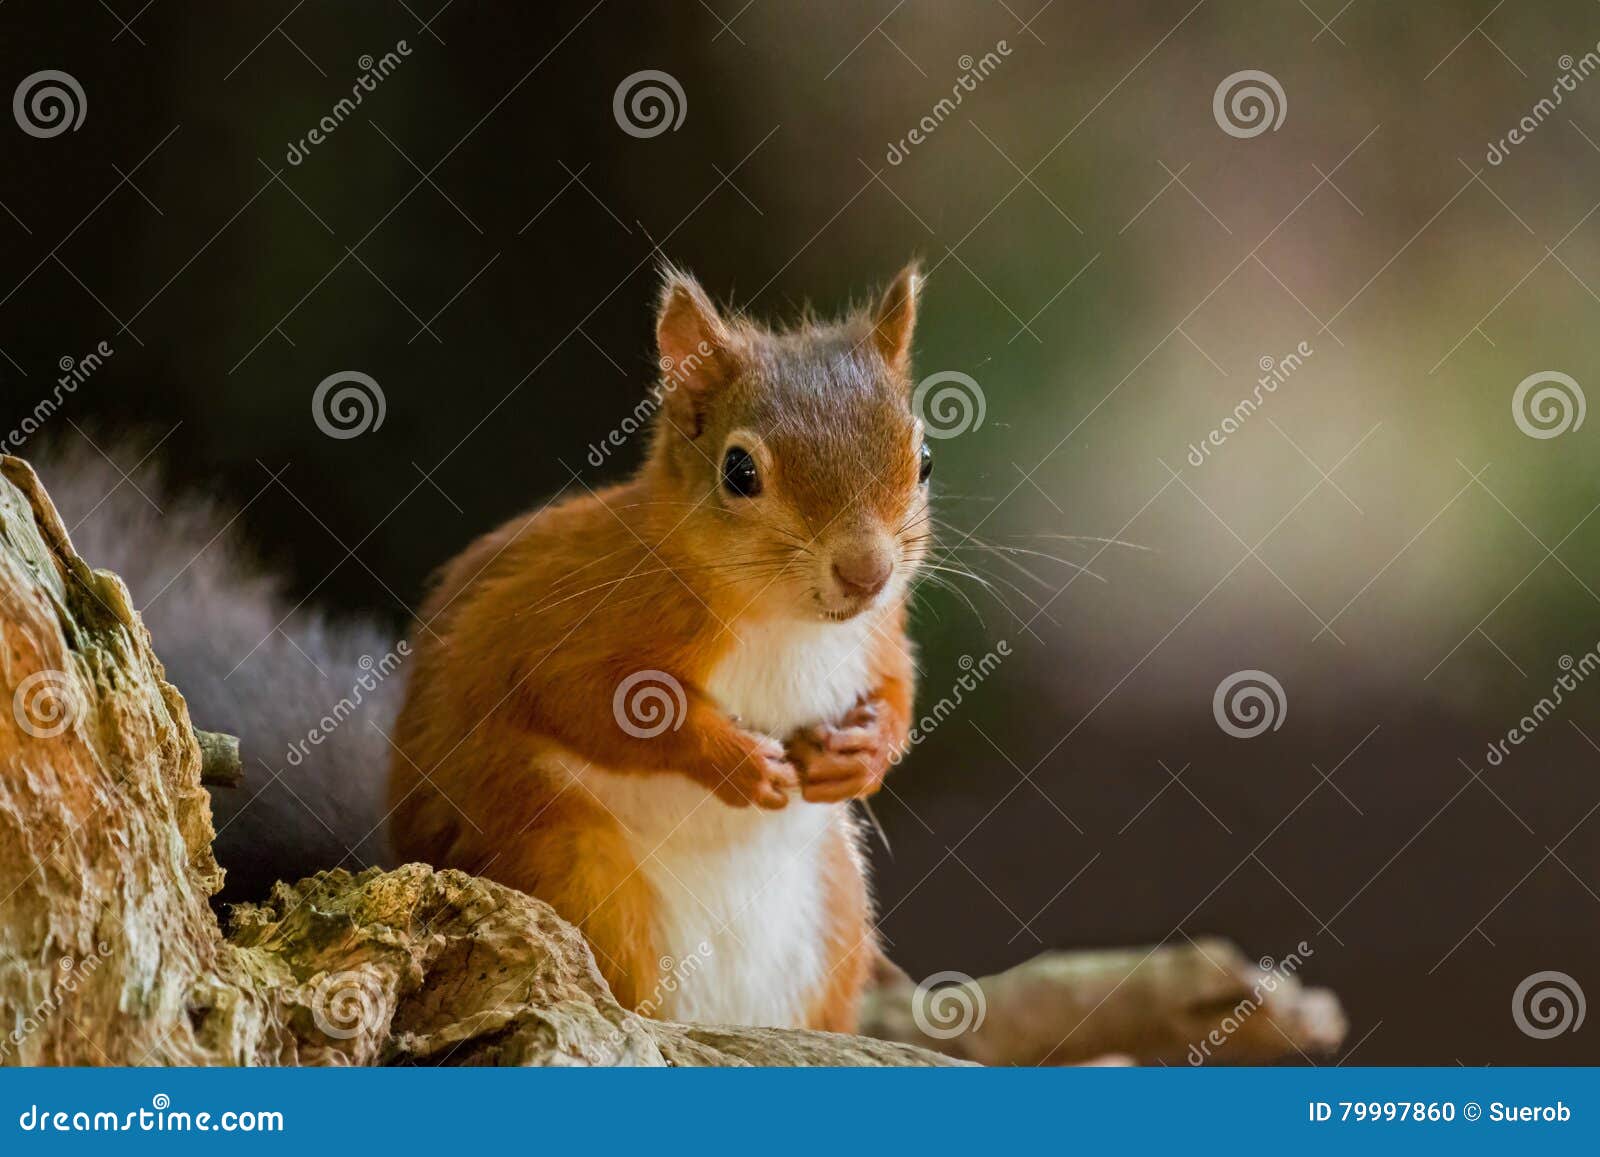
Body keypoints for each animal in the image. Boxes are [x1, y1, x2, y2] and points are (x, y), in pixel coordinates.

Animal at [387, 264, 931, 1031]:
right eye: (739, 471)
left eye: (925, 460)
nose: (866, 572)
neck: (783, 621)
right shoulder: (561, 624)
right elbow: (582, 702)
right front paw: (734, 761)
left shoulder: (875, 635)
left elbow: (898, 687)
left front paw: (864, 752)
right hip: (576, 873)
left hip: (836, 906)